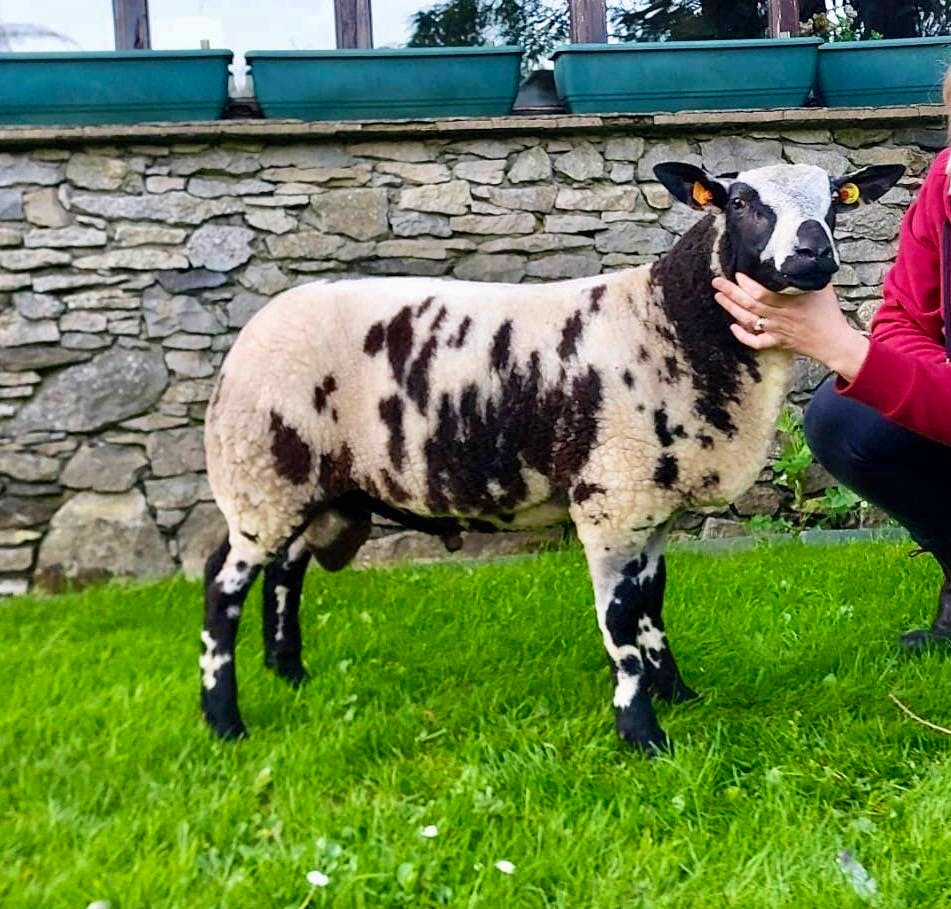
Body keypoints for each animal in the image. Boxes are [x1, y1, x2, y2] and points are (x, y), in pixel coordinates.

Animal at [200, 159, 904, 753]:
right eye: (739, 202)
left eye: (836, 201)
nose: (814, 254)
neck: (669, 321)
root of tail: (259, 326)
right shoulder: (611, 500)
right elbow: (620, 624)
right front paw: (642, 733)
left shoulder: (653, 504)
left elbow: (652, 606)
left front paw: (678, 694)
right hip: (259, 469)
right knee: (222, 585)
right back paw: (225, 721)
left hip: (303, 478)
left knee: (286, 571)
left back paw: (290, 674)